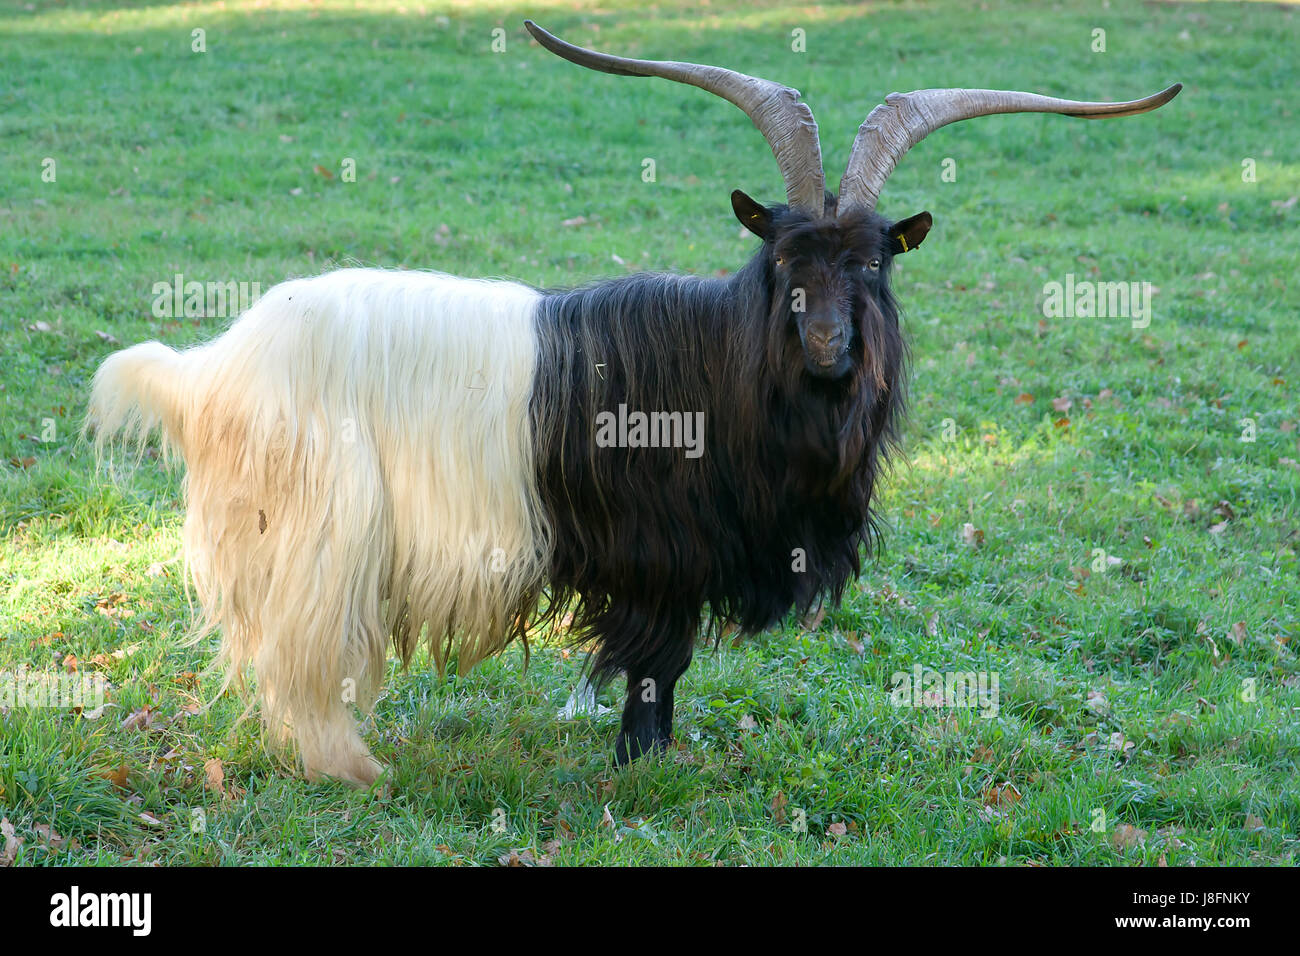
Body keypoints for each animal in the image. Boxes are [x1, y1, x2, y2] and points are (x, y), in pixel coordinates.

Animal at [87, 20, 1180, 785]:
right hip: (321, 527)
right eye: (785, 261)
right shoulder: (659, 556)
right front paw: (641, 767)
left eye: (872, 264)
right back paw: (354, 768)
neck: (725, 373)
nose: (829, 345)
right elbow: (658, 664)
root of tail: (214, 366)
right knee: (299, 654)